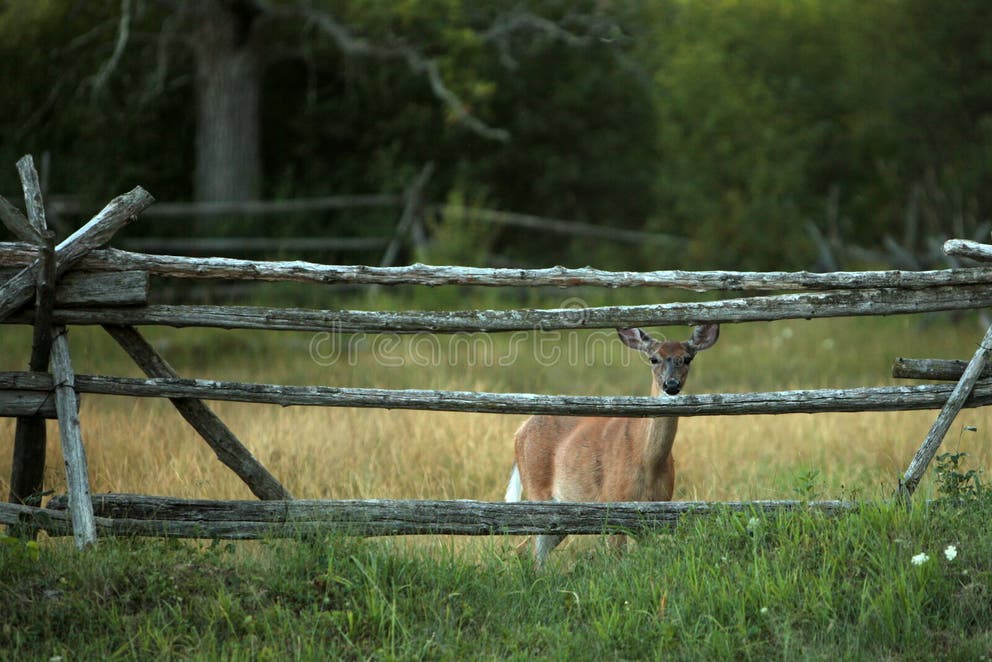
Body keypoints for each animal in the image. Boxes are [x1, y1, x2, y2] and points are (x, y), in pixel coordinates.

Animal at [504, 324, 720, 566]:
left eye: (687, 358)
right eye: (654, 359)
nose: (671, 385)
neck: (648, 461)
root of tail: (519, 430)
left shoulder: (657, 508)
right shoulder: (613, 502)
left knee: (523, 549)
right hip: (538, 492)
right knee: (534, 552)